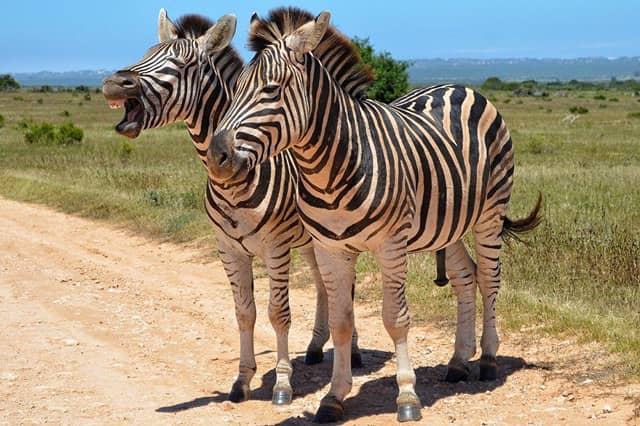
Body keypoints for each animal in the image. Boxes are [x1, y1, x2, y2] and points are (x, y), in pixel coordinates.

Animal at [101, 9, 363, 406]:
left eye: (183, 64)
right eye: (146, 53)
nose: (116, 84)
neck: (235, 181)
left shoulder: (275, 247)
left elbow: (277, 313)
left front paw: (282, 385)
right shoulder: (228, 249)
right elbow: (244, 313)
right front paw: (241, 381)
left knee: (345, 289)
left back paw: (356, 353)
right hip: (310, 241)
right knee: (323, 286)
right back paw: (317, 347)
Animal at [205, 7, 542, 422]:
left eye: (272, 89)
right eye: (235, 89)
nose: (217, 156)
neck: (330, 168)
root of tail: (460, 86)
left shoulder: (391, 246)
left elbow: (395, 320)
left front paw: (407, 397)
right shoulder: (331, 249)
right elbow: (341, 322)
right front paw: (333, 396)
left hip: (490, 214)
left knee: (490, 279)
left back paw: (489, 358)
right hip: (447, 223)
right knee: (466, 278)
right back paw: (459, 361)